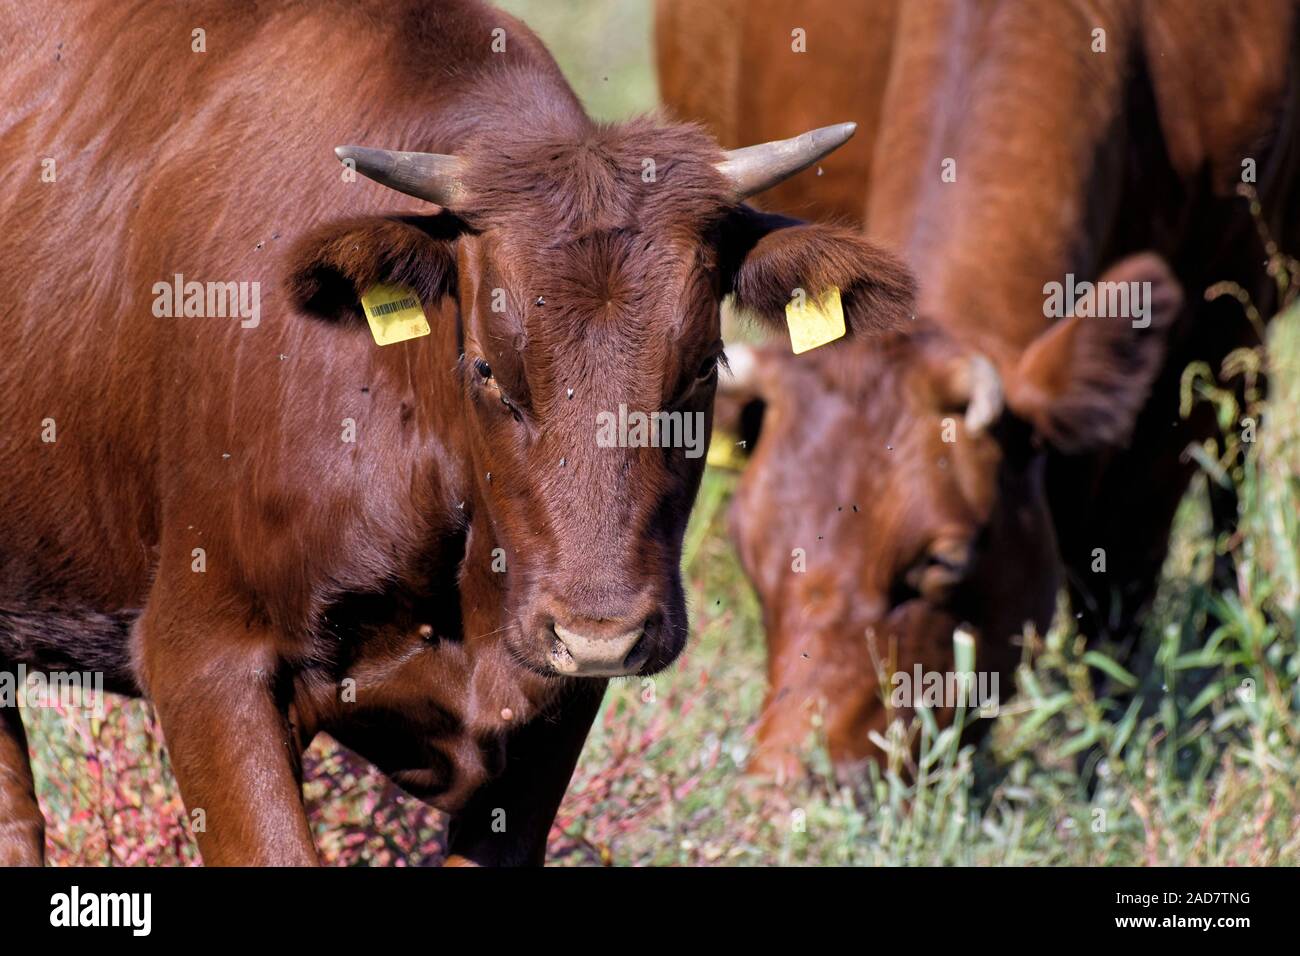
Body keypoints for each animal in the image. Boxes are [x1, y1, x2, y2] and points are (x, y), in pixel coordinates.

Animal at [659, 0, 1300, 776]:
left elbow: (1121, 581)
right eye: (749, 551)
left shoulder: (1217, 322)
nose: (785, 782)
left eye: (945, 561)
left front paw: (1110, 757)